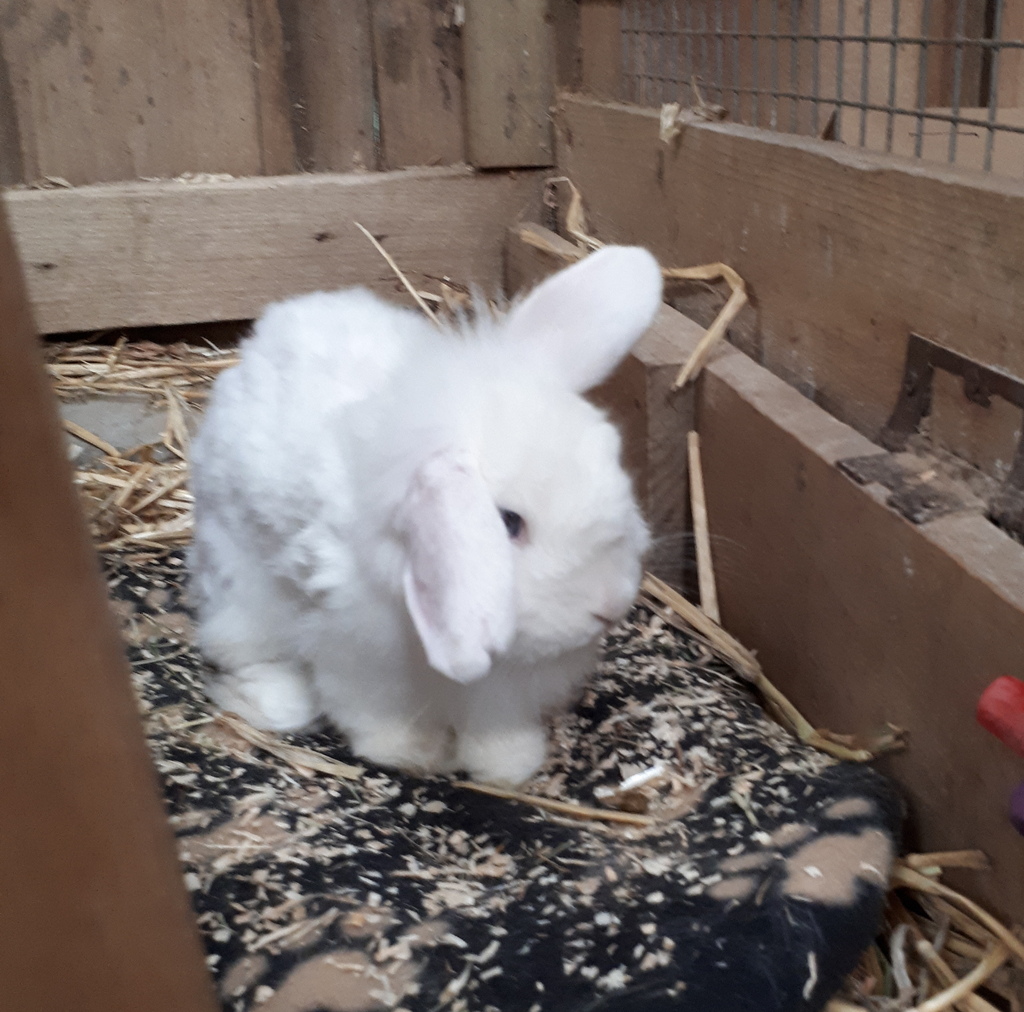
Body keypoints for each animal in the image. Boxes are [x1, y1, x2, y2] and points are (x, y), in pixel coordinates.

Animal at [189, 245, 663, 786]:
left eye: (613, 463)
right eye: (509, 523)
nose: (612, 605)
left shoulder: (505, 690)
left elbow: (498, 728)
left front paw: (508, 767)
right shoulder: (359, 660)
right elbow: (375, 716)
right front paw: (414, 753)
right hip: (240, 590)